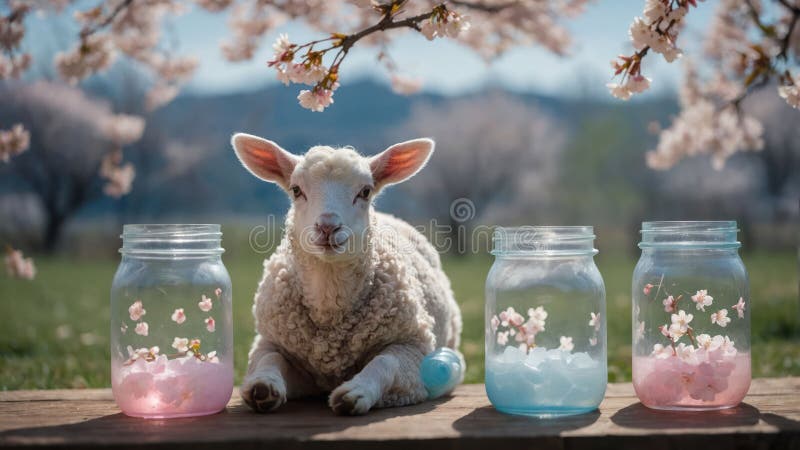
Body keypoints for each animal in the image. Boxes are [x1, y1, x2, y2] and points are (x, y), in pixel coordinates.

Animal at [231, 133, 463, 415]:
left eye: (365, 191)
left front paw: (356, 392)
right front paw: (263, 387)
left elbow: (385, 362)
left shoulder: (415, 347)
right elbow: (270, 357)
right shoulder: (271, 343)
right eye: (296, 190)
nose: (328, 226)